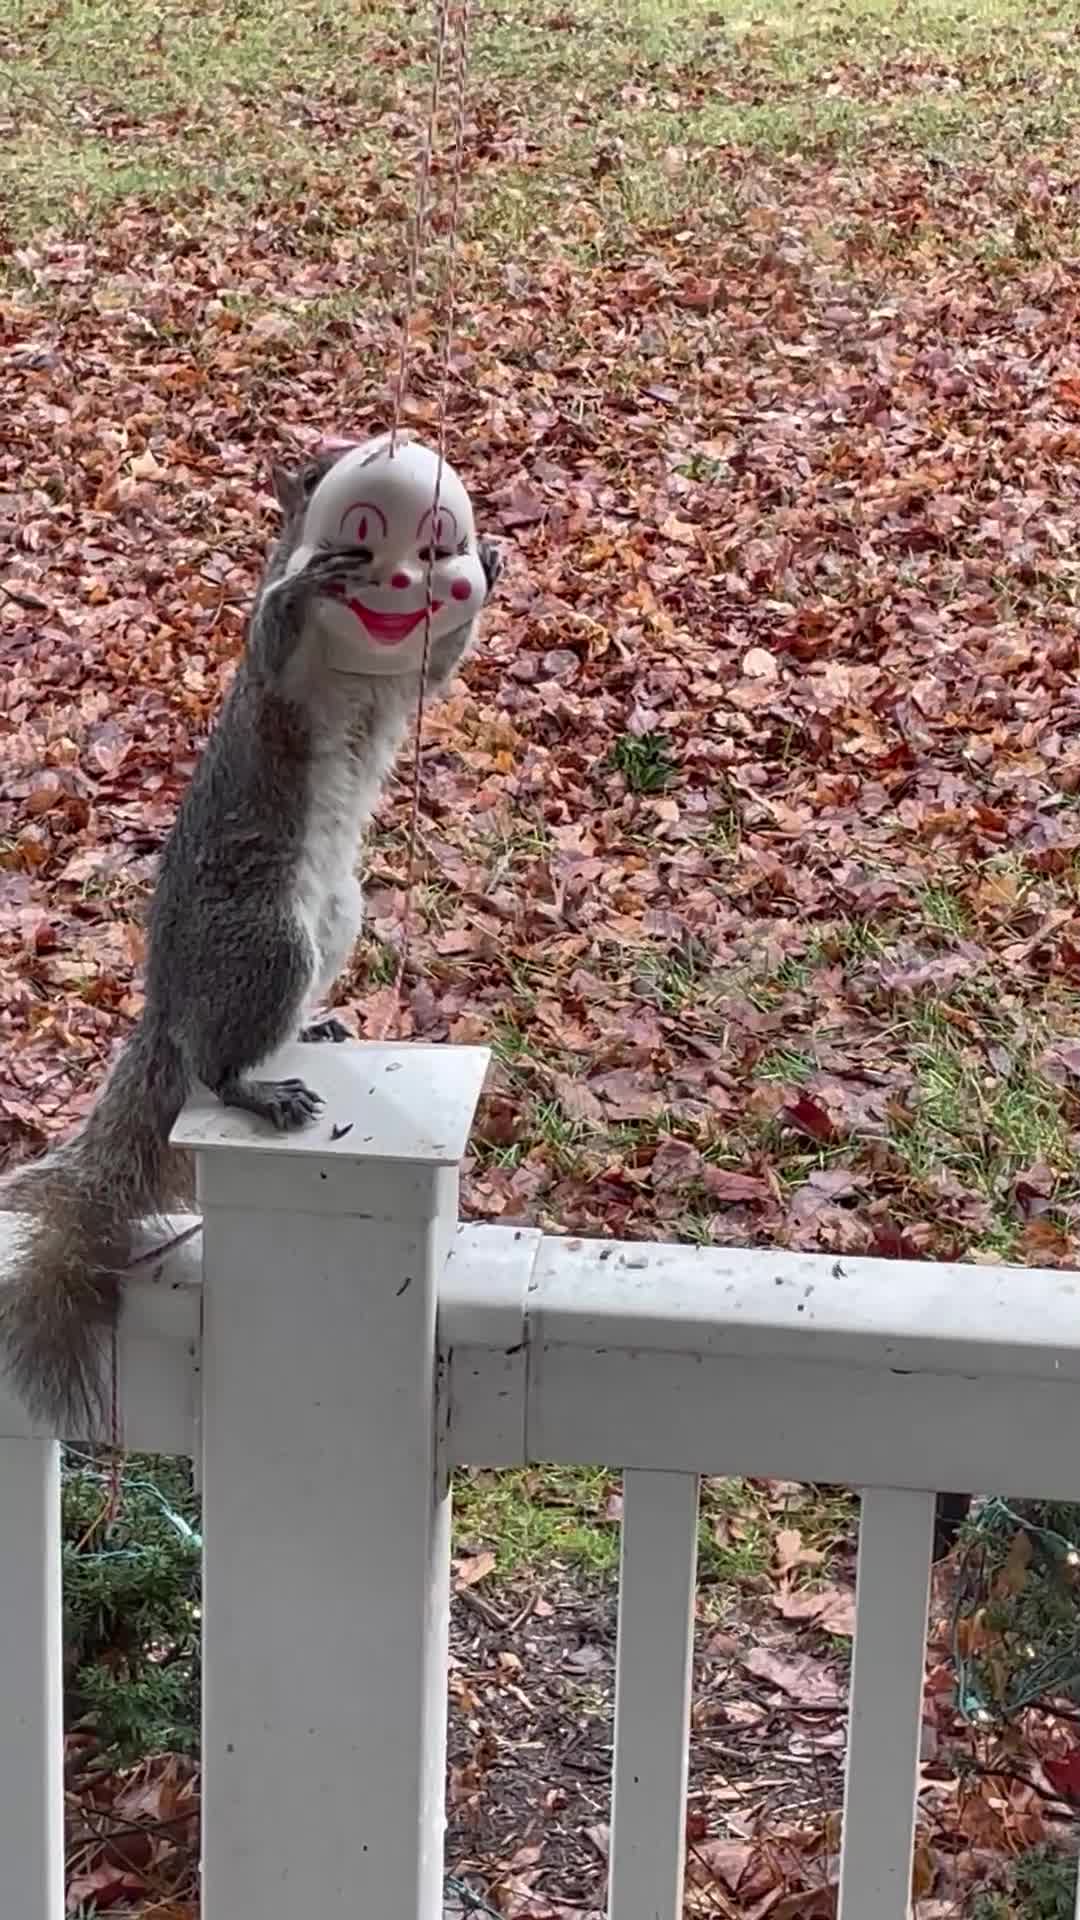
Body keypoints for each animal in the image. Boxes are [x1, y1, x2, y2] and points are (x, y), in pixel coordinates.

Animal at [0, 443, 502, 1436]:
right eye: (335, 510)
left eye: (441, 544)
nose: (402, 568)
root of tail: (169, 997)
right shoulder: (274, 678)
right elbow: (271, 631)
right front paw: (306, 587)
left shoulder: (411, 679)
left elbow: (440, 671)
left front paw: (496, 566)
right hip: (265, 944)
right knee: (215, 1061)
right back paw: (259, 1090)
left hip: (335, 918)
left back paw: (312, 1027)